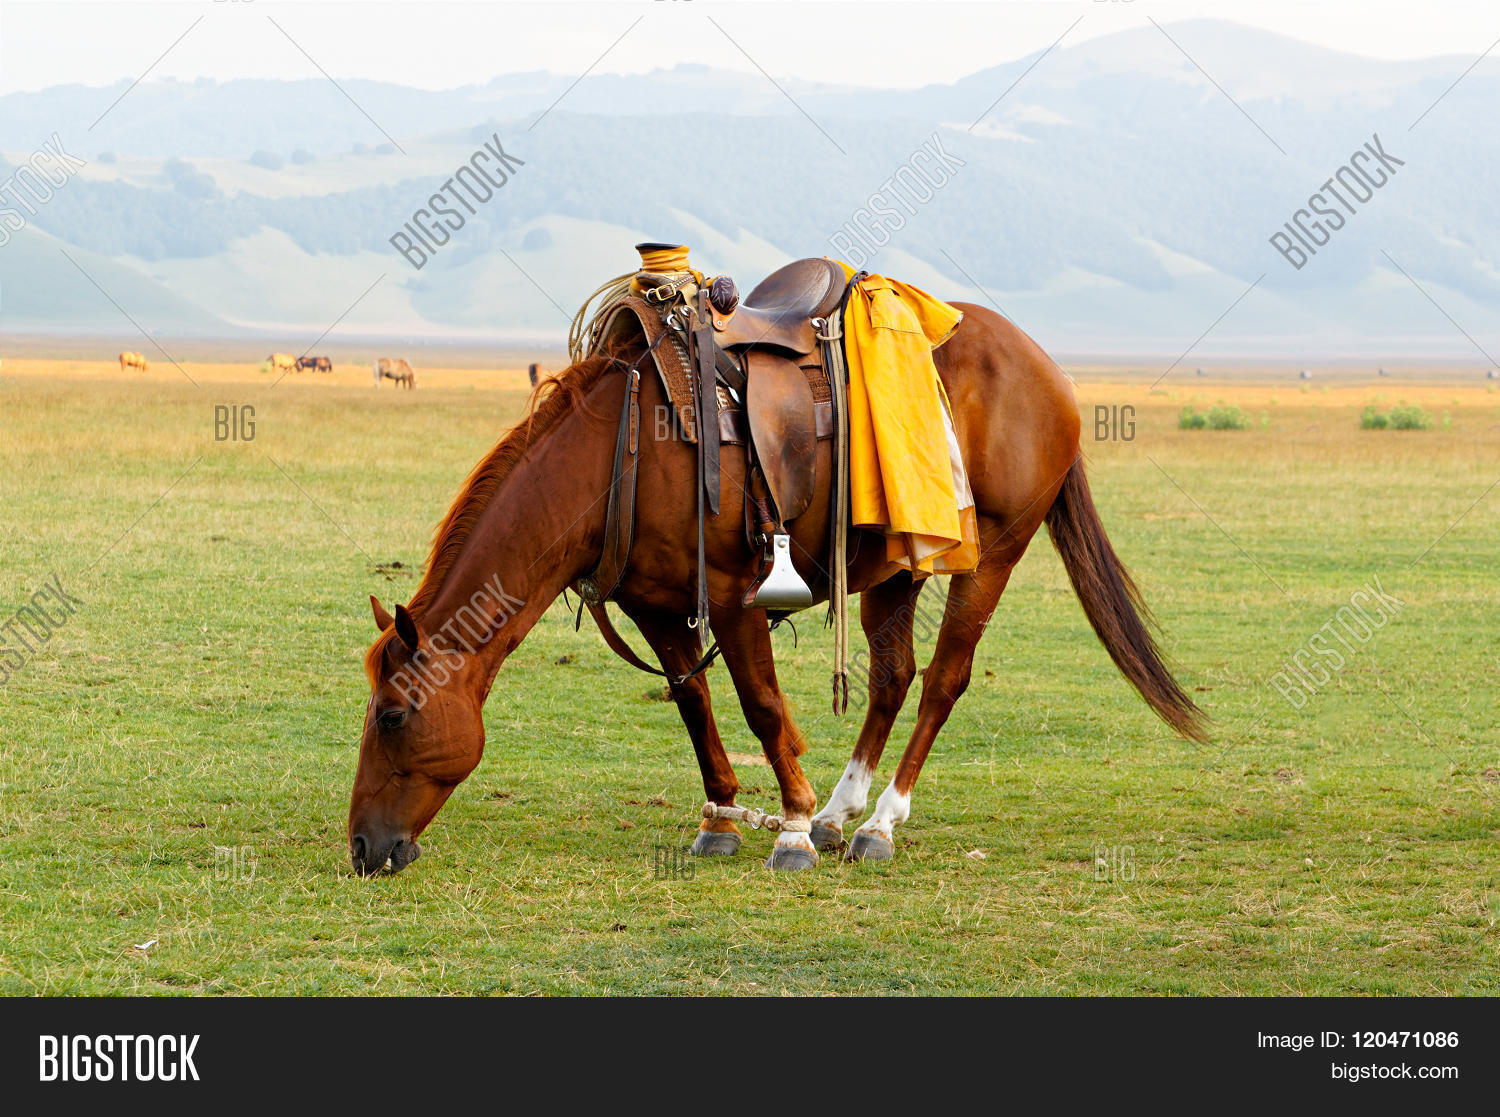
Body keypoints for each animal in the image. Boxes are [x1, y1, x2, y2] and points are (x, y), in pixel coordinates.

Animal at [348, 303, 1205, 875]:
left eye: (392, 715)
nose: (363, 846)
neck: (626, 452)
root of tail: (1048, 369)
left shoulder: (736, 595)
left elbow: (761, 706)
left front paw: (788, 827)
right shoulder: (656, 605)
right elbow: (694, 703)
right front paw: (723, 816)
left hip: (989, 554)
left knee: (944, 679)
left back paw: (878, 824)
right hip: (896, 567)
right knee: (893, 676)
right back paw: (841, 811)